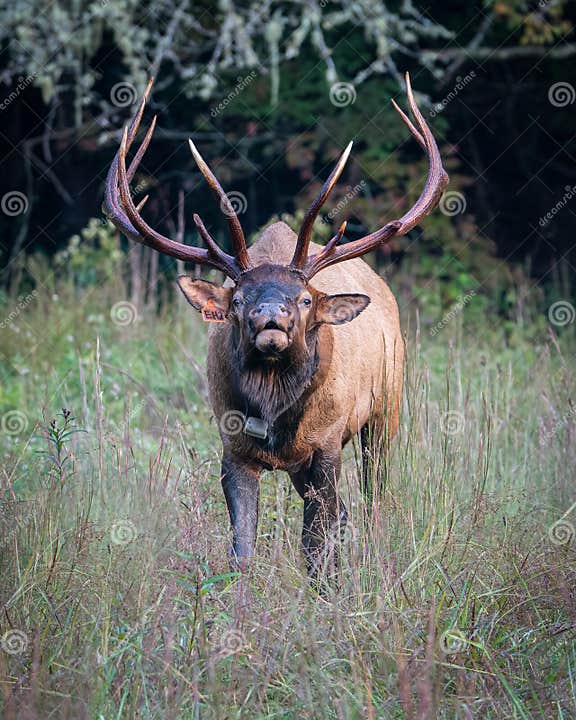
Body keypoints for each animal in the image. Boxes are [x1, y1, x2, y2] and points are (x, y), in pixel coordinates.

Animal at [103, 73, 448, 580]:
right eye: (238, 299)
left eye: (305, 299)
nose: (271, 318)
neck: (276, 415)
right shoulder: (233, 449)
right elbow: (242, 552)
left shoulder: (327, 444)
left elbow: (315, 545)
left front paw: (327, 592)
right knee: (346, 512)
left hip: (387, 408)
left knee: (374, 497)